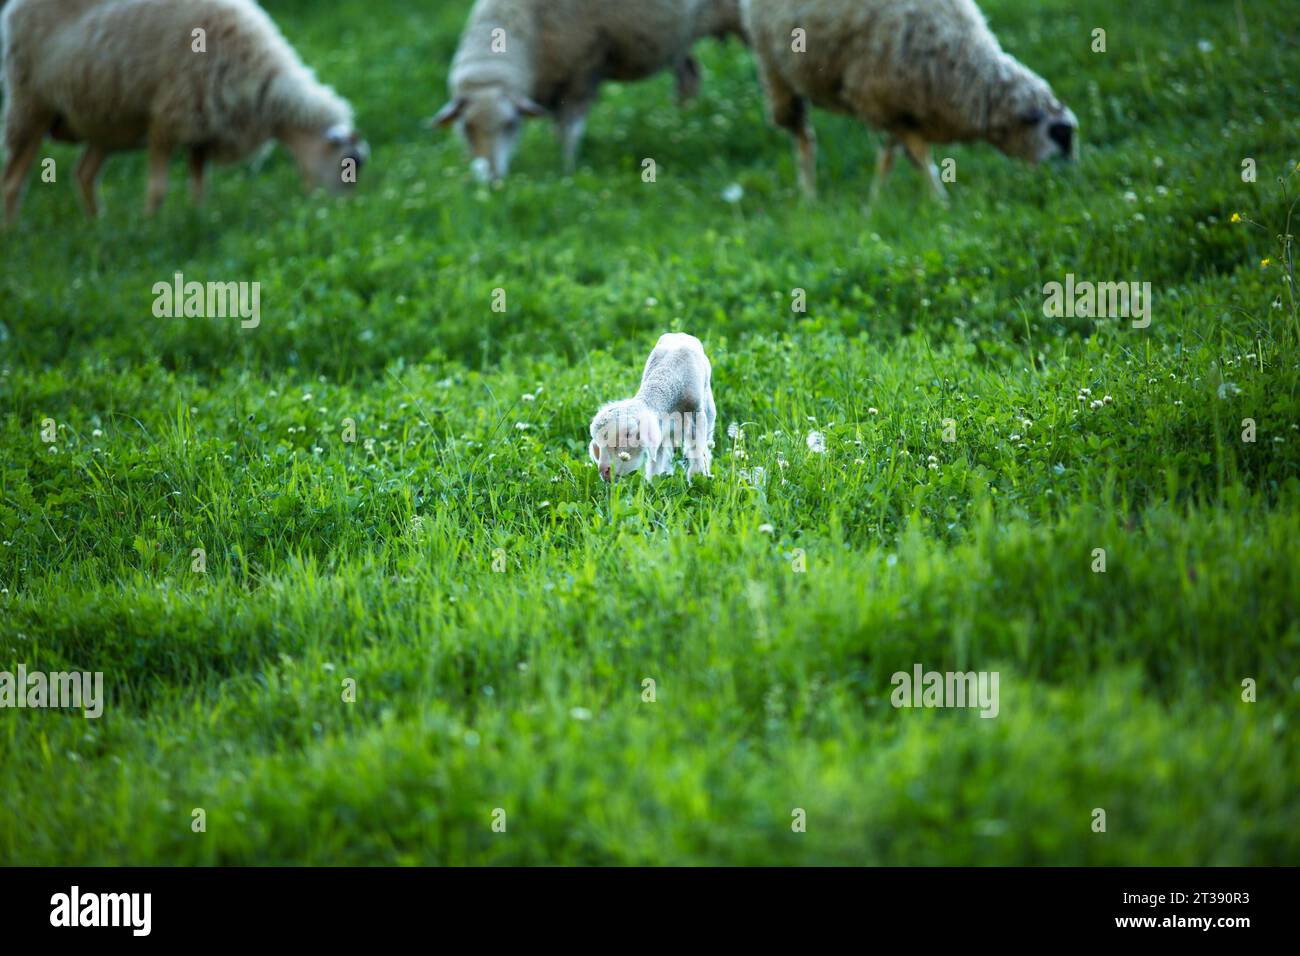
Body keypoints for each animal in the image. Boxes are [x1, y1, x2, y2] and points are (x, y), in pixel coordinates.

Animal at [1, 0, 368, 224]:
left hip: (102, 119)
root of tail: (14, 8)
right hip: (31, 102)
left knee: (84, 174)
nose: (343, 214)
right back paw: (13, 231)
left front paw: (197, 217)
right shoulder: (167, 117)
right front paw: (150, 227)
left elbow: (199, 183)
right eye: (346, 164)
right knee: (13, 182)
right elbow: (159, 189)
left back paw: (96, 226)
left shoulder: (204, 126)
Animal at [431, 0, 743, 182]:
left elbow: (570, 129)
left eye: (511, 125)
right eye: (466, 128)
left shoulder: (583, 68)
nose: (493, 180)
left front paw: (567, 171)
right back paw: (682, 122)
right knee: (690, 74)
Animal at [589, 332, 716, 482]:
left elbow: (697, 450)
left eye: (627, 435)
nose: (604, 472)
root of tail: (680, 333)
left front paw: (698, 478)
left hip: (709, 409)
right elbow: (656, 460)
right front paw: (653, 482)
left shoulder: (696, 413)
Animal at [740, 0, 1077, 200]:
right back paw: (809, 195)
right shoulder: (876, 98)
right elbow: (913, 156)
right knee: (801, 134)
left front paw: (878, 201)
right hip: (774, 64)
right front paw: (937, 202)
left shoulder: (900, 110)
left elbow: (893, 154)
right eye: (1060, 134)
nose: (1071, 174)